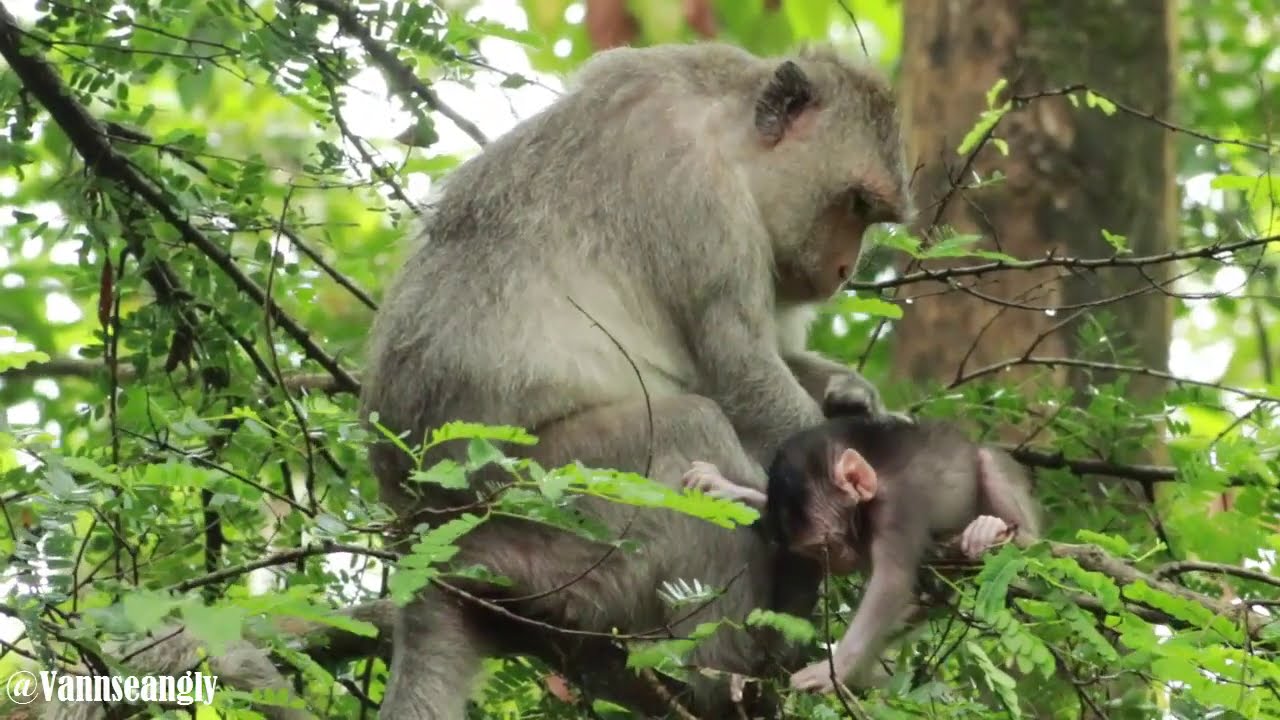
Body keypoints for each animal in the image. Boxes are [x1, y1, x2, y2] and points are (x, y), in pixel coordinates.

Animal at [359, 41, 913, 718]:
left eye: (870, 214)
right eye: (856, 204)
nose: (842, 270)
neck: (725, 129)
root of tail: (428, 538)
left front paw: (854, 398)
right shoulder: (696, 197)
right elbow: (739, 366)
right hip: (550, 513)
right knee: (686, 427)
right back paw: (725, 669)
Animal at [680, 413, 1040, 694]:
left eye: (825, 548)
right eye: (814, 553)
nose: (835, 565)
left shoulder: (898, 507)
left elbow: (892, 580)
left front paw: (833, 669)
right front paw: (726, 488)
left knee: (992, 470)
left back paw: (995, 531)